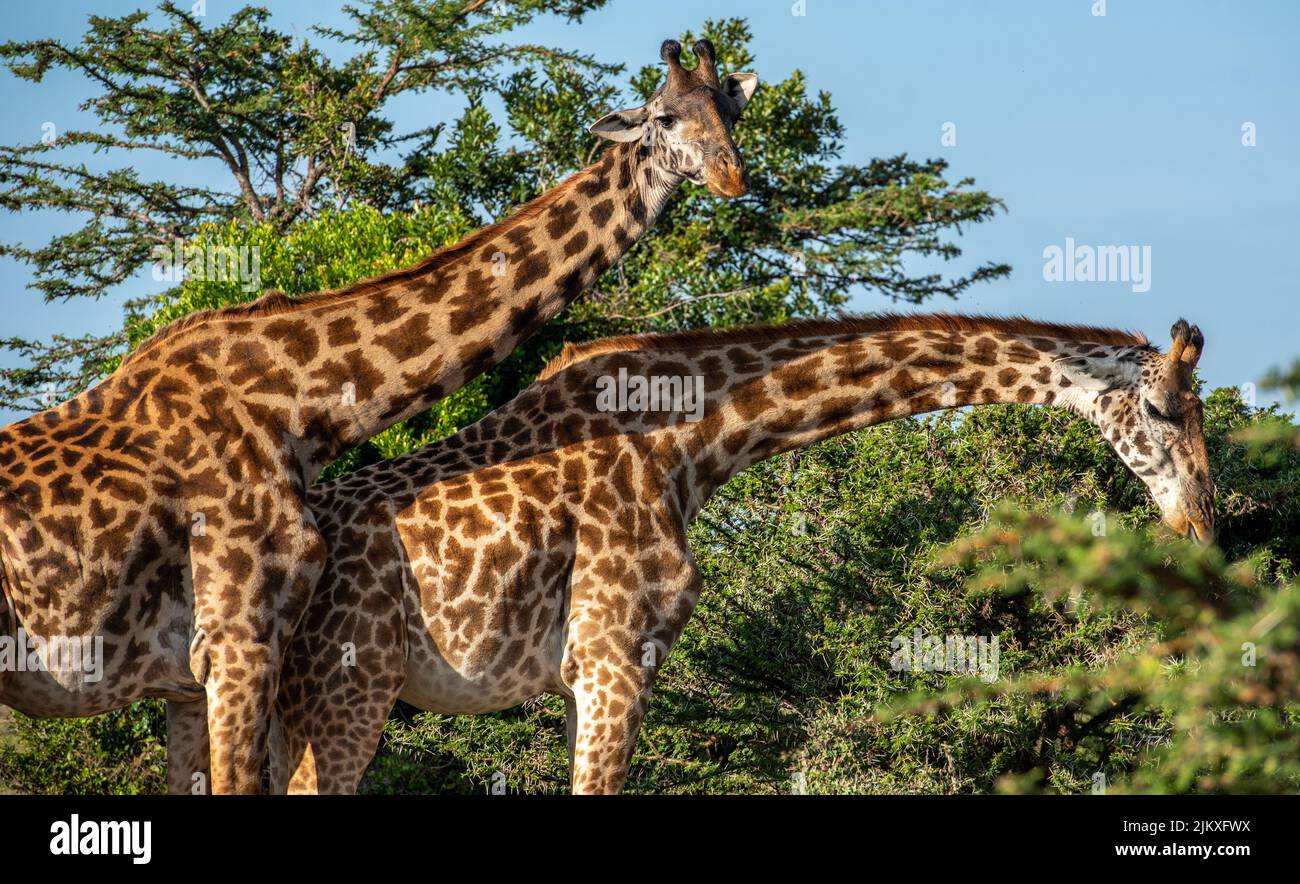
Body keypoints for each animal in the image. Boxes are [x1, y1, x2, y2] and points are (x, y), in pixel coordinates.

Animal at [0, 38, 759, 794]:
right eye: (663, 116)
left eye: (730, 110)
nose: (733, 177)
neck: (298, 409)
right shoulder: (239, 638)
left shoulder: (188, 678)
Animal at [269, 313, 1214, 794]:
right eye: (1162, 409)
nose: (1204, 524)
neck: (693, 443)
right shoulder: (616, 656)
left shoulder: (582, 674)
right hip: (351, 685)